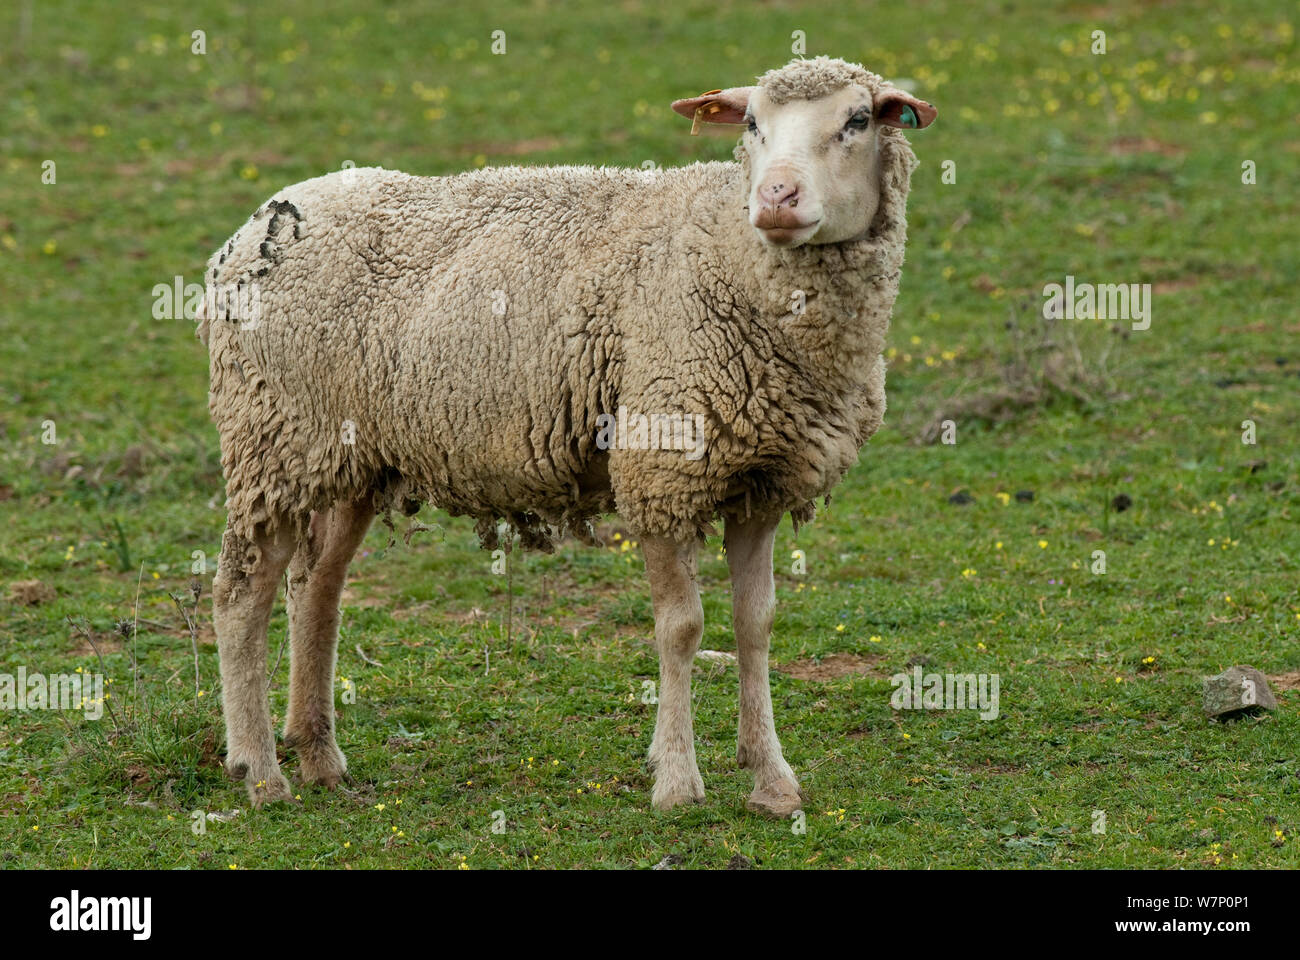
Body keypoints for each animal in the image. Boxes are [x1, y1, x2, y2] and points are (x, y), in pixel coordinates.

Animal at [198, 56, 936, 816]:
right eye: (753, 123)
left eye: (856, 121)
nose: (776, 198)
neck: (729, 250)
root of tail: (254, 228)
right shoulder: (659, 472)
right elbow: (682, 628)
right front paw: (677, 781)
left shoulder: (760, 479)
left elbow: (754, 625)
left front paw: (772, 779)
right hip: (273, 439)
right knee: (240, 593)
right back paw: (260, 770)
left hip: (348, 456)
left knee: (315, 586)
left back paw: (319, 754)